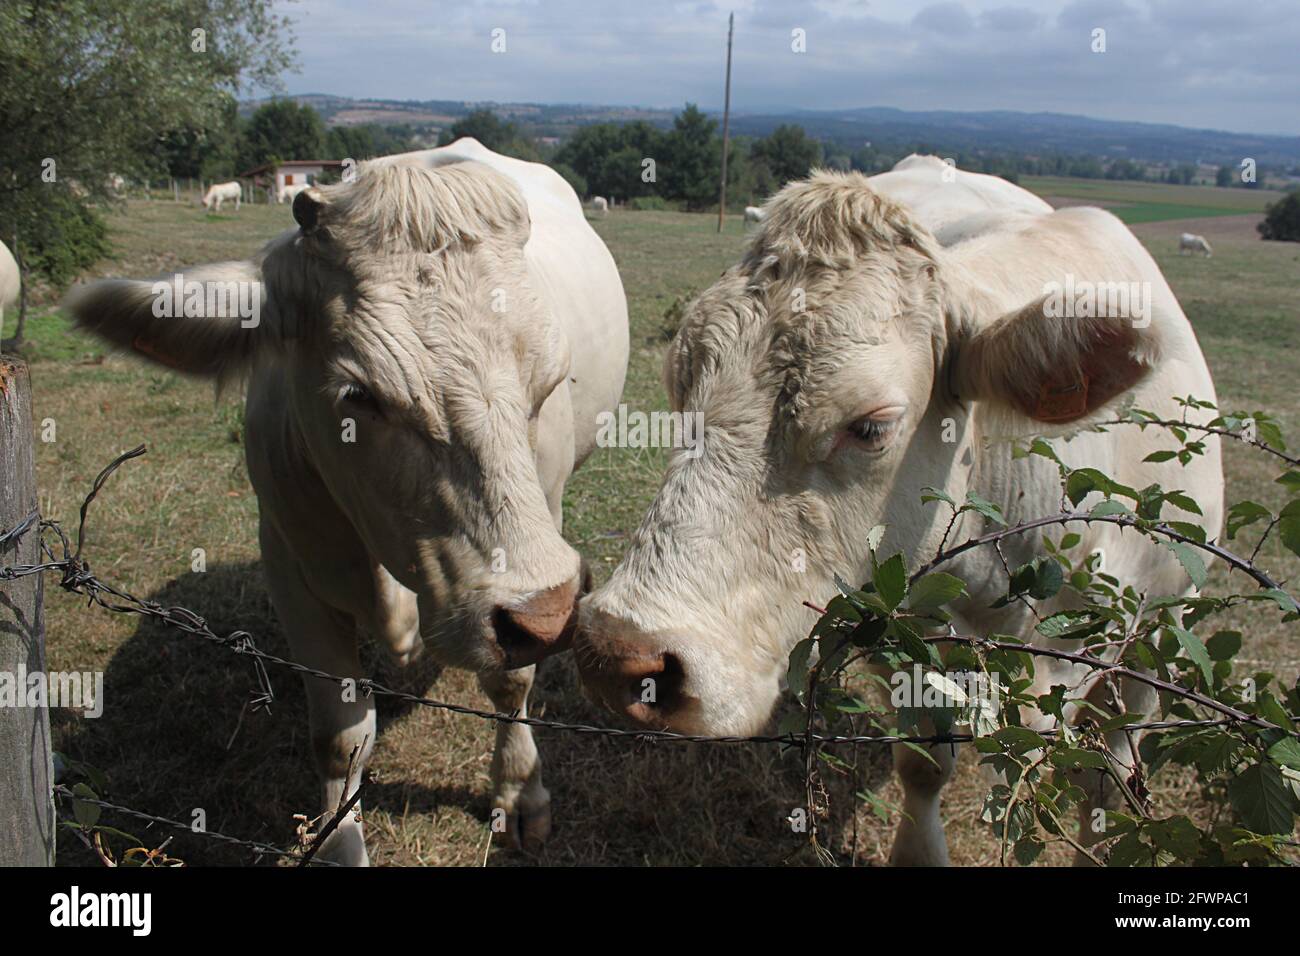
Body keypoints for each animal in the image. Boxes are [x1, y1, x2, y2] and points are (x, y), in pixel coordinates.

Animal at [66, 138, 631, 865]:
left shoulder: (546, 530)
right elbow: (341, 738)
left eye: (550, 377)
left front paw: (519, 792)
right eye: (358, 396)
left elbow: (511, 681)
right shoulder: (289, 565)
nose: (548, 615)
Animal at [575, 163, 1224, 866]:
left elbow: (1111, 785)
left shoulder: (1155, 636)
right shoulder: (900, 634)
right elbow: (923, 765)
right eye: (679, 384)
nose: (618, 653)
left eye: (871, 426)